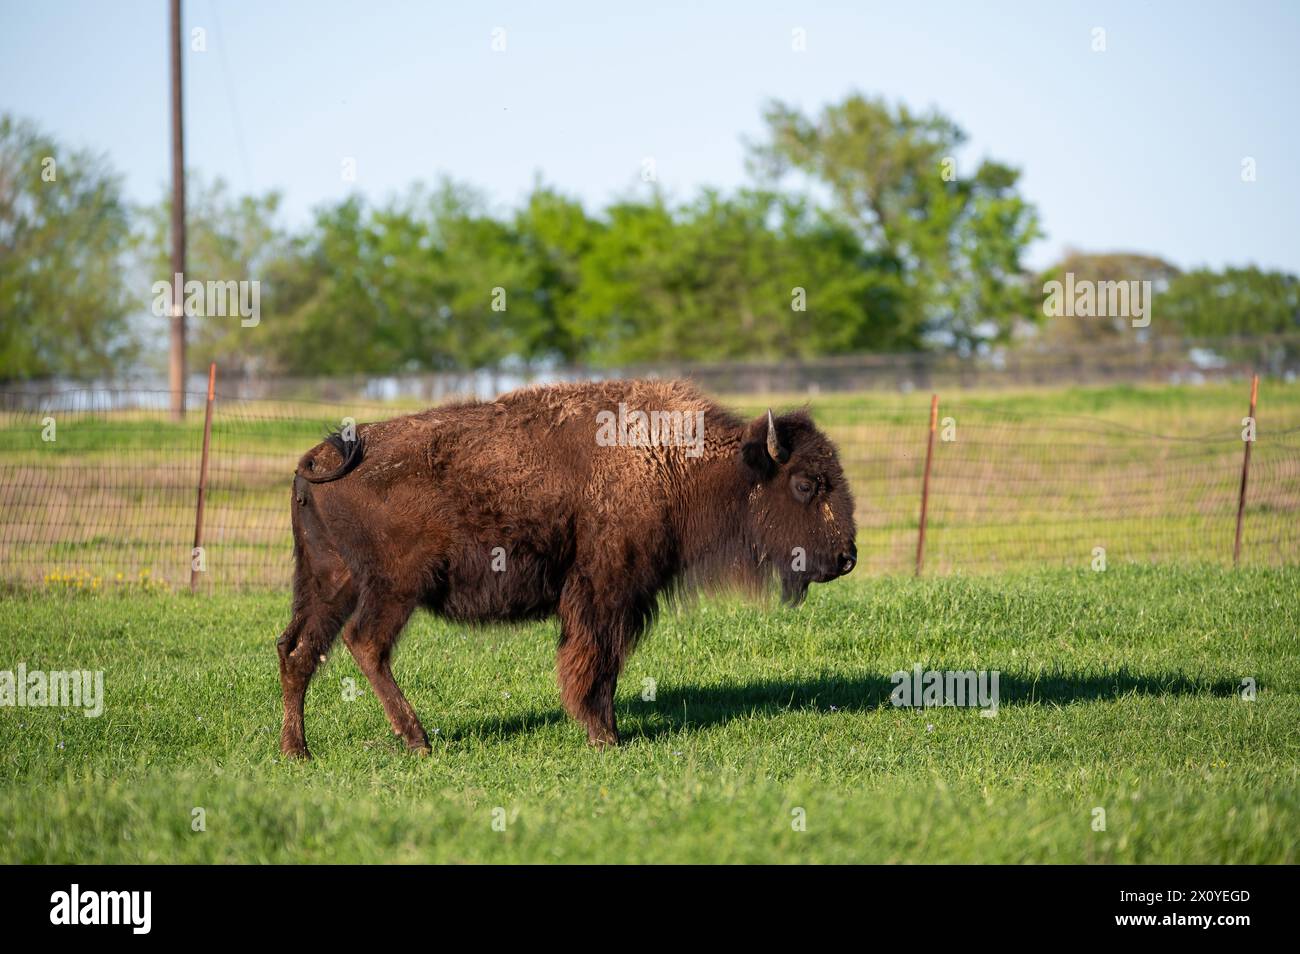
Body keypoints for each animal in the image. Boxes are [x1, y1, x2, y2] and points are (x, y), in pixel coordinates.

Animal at [277, 379, 857, 757]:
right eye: (806, 483)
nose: (847, 558)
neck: (674, 462)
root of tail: (324, 454)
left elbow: (602, 661)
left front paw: (606, 730)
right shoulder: (607, 591)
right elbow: (595, 659)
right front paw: (605, 736)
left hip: (329, 581)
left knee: (298, 650)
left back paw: (297, 751)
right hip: (394, 586)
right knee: (365, 643)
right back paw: (417, 740)